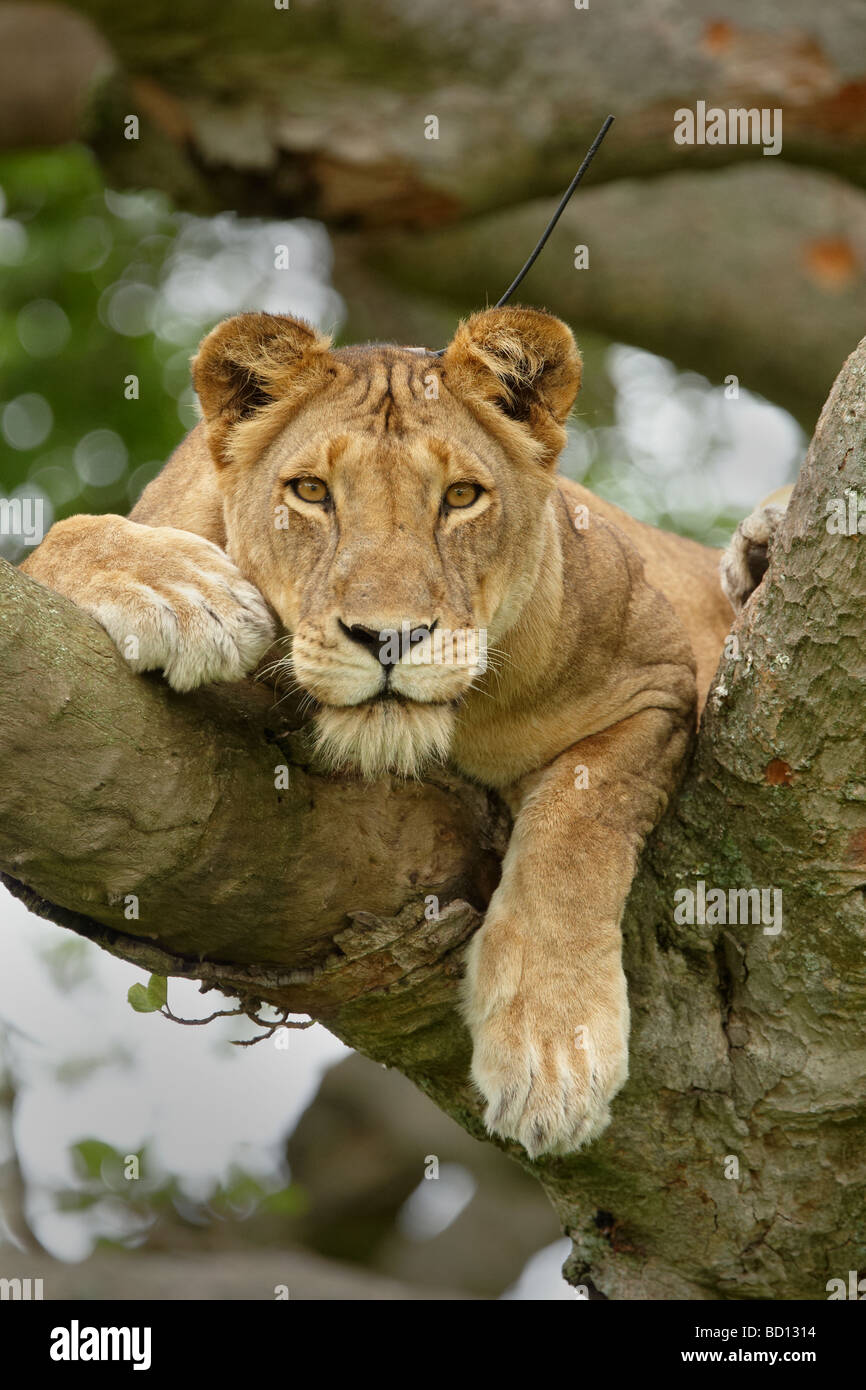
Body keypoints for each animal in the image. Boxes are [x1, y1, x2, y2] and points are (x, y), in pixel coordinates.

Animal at [21, 307, 782, 1158]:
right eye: (311, 492)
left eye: (461, 497)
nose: (388, 638)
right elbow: (62, 538)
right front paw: (187, 592)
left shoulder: (653, 682)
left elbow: (575, 837)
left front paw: (553, 1049)